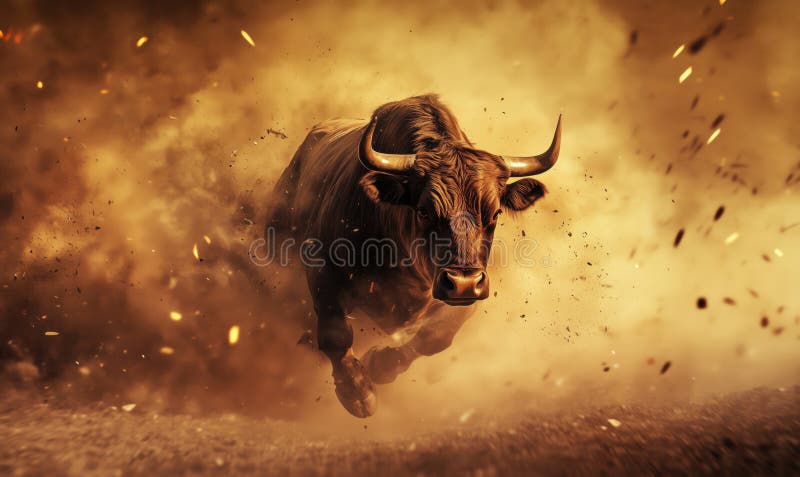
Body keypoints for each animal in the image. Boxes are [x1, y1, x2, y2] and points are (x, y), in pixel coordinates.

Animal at [265, 95, 561, 417]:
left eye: (494, 214)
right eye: (424, 211)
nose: (463, 283)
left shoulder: (462, 297)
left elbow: (436, 336)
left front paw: (379, 365)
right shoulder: (323, 272)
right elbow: (336, 334)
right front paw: (357, 393)